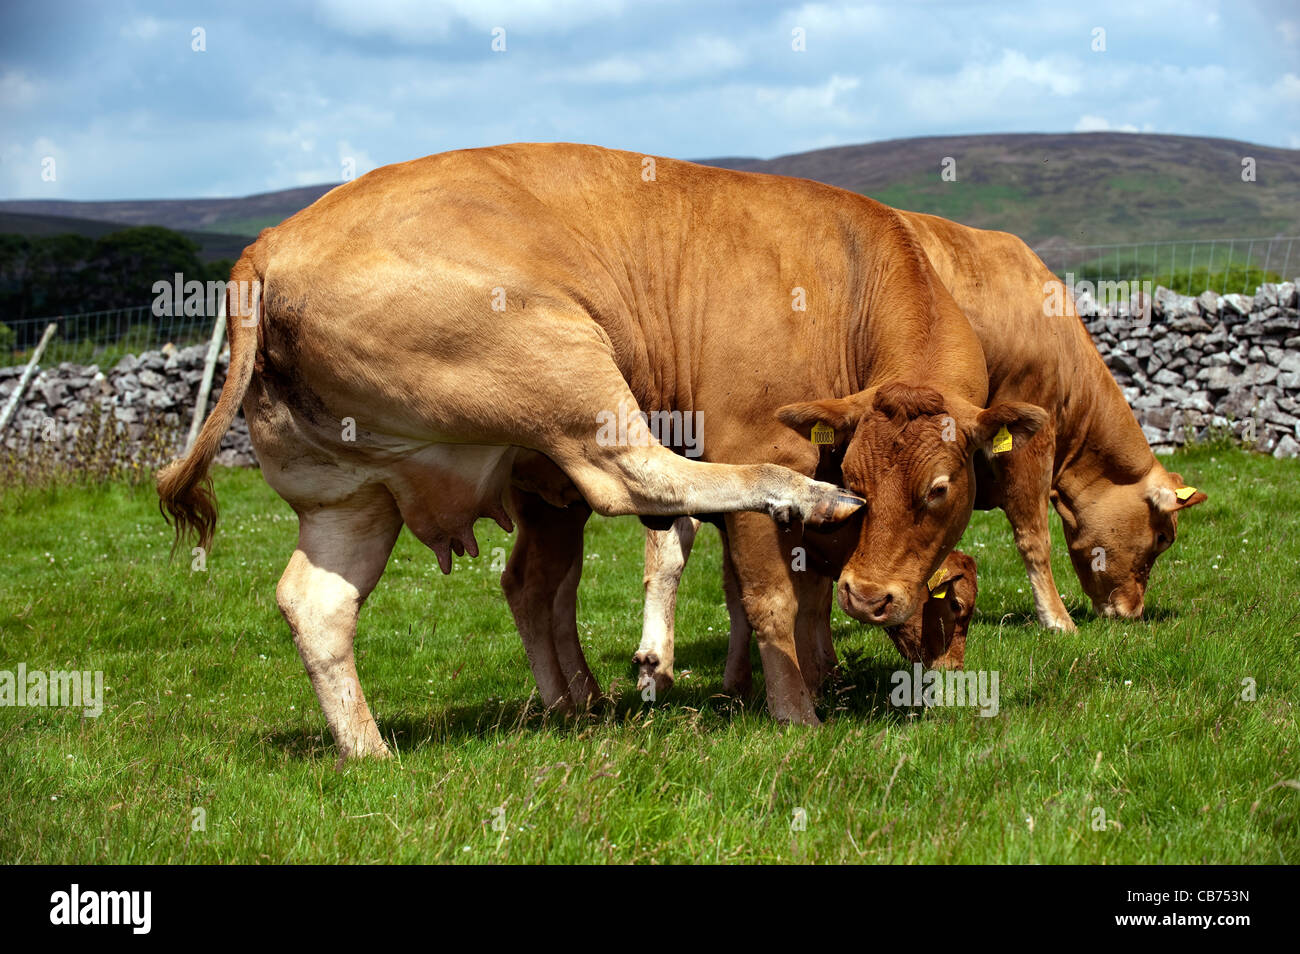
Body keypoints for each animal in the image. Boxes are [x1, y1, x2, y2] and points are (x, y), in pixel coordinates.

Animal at [158, 143, 1044, 758]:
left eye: (937, 489)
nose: (876, 599)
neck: (850, 280)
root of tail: (267, 245)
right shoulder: (752, 431)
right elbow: (770, 598)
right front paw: (796, 711)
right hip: (564, 360)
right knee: (640, 481)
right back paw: (794, 503)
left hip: (350, 497)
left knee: (317, 605)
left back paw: (372, 750)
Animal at [633, 210, 1207, 698]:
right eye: (1163, 537)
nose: (1129, 612)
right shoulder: (1029, 445)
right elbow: (1033, 539)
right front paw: (1058, 621)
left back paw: (675, 668)